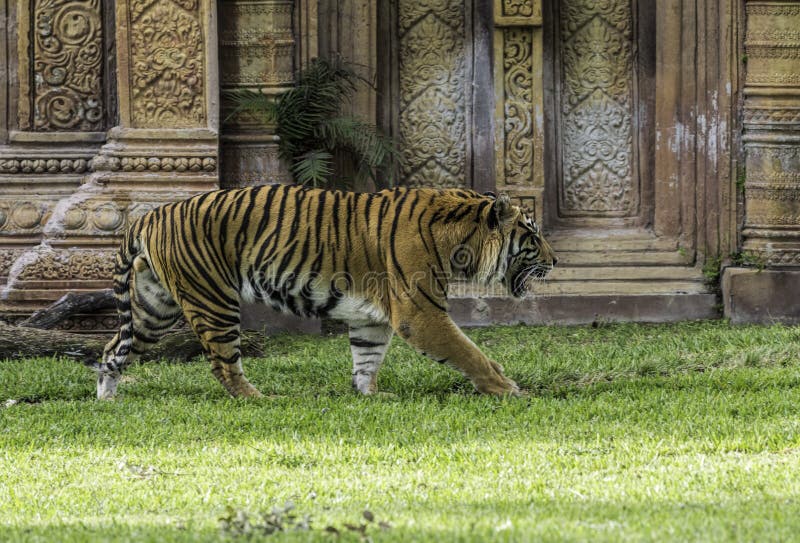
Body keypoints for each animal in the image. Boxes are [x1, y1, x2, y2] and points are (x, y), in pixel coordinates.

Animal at [95, 185, 557, 400]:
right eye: (532, 235)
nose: (555, 262)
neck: (461, 241)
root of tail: (151, 214)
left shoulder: (373, 319)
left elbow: (366, 359)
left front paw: (371, 395)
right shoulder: (420, 314)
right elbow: (470, 352)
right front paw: (508, 389)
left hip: (155, 309)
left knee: (112, 349)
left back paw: (107, 399)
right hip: (213, 302)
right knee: (224, 365)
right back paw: (260, 399)